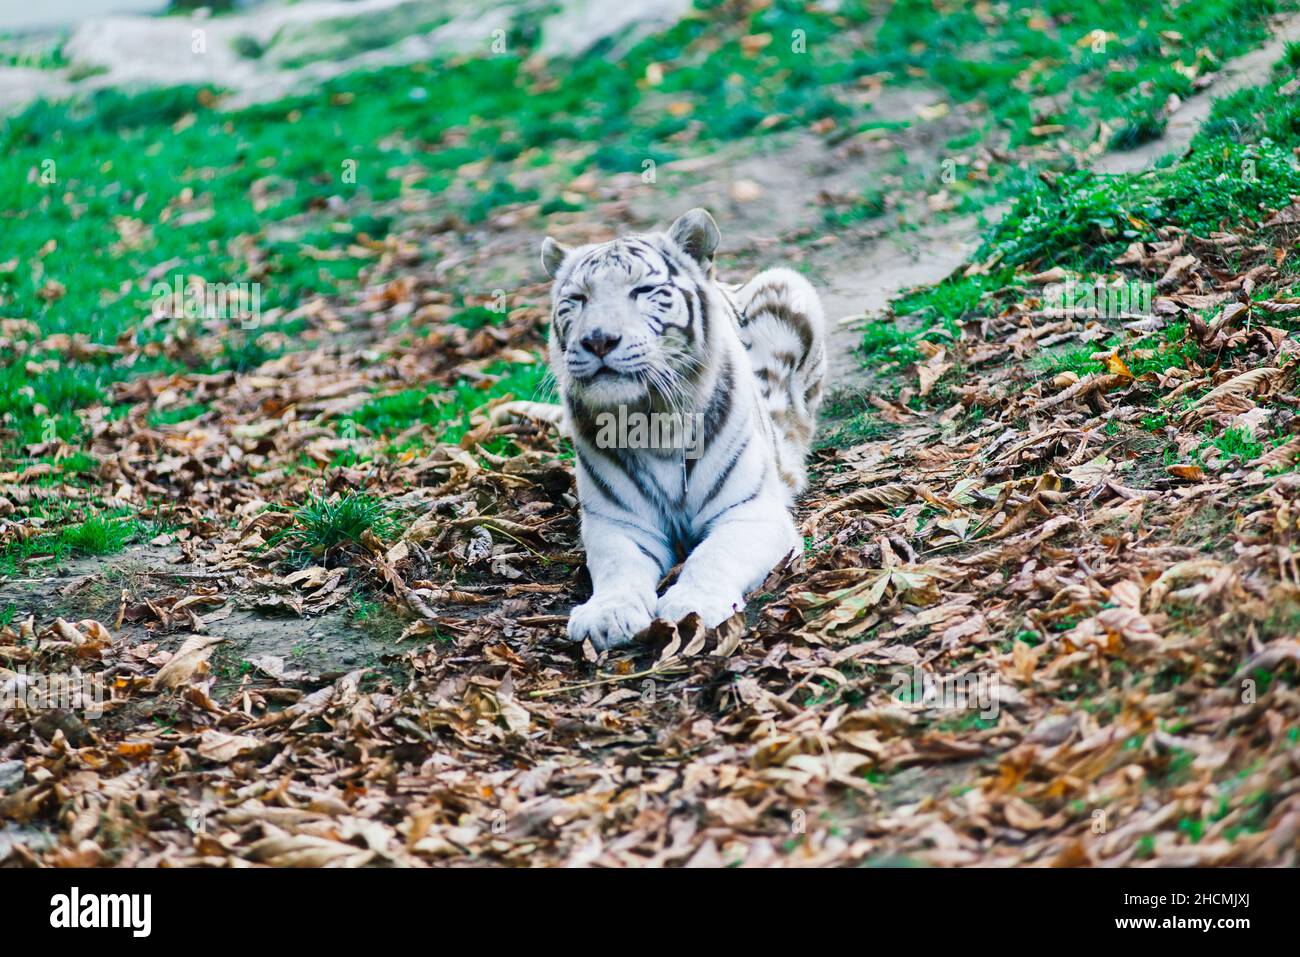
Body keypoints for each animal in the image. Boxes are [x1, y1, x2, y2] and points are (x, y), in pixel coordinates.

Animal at [540, 208, 826, 650]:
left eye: (642, 291)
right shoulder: (618, 523)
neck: (653, 421)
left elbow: (715, 555)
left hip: (787, 286)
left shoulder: (749, 512)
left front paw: (693, 604)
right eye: (578, 299)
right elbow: (618, 565)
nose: (598, 340)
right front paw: (608, 614)